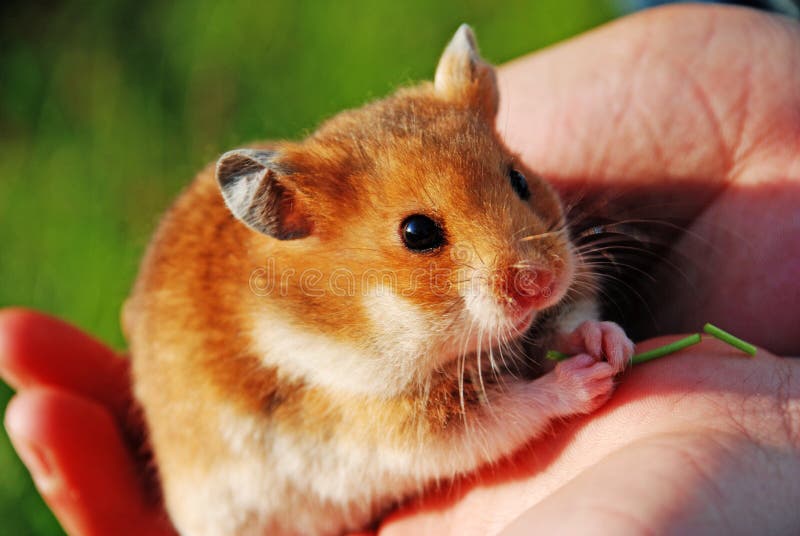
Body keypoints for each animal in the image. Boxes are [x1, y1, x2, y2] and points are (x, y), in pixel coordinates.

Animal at [124, 25, 634, 536]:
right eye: (417, 232)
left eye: (520, 179)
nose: (541, 282)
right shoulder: (403, 425)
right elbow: (516, 409)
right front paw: (588, 378)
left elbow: (568, 322)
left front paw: (612, 346)